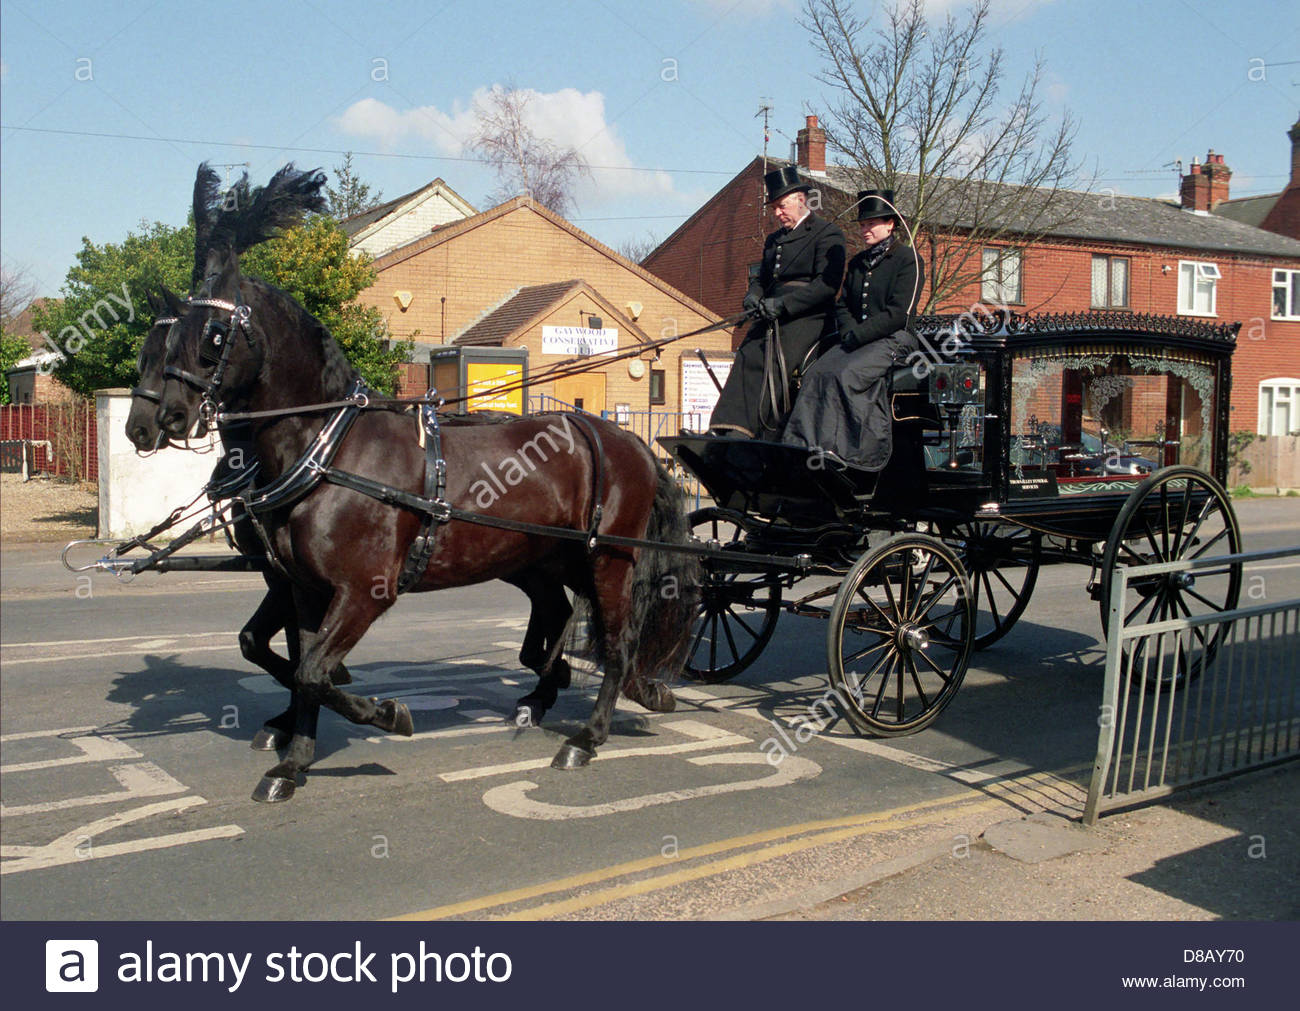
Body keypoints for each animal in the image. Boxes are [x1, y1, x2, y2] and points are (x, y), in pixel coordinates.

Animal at [157, 165, 698, 802]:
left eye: (215, 333)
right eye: (169, 333)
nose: (165, 416)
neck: (329, 452)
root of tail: (622, 438)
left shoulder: (364, 590)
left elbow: (312, 670)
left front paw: (387, 714)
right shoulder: (304, 589)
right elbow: (302, 670)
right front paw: (294, 761)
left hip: (608, 560)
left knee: (617, 643)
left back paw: (588, 736)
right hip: (551, 559)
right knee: (563, 621)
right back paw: (570, 693)